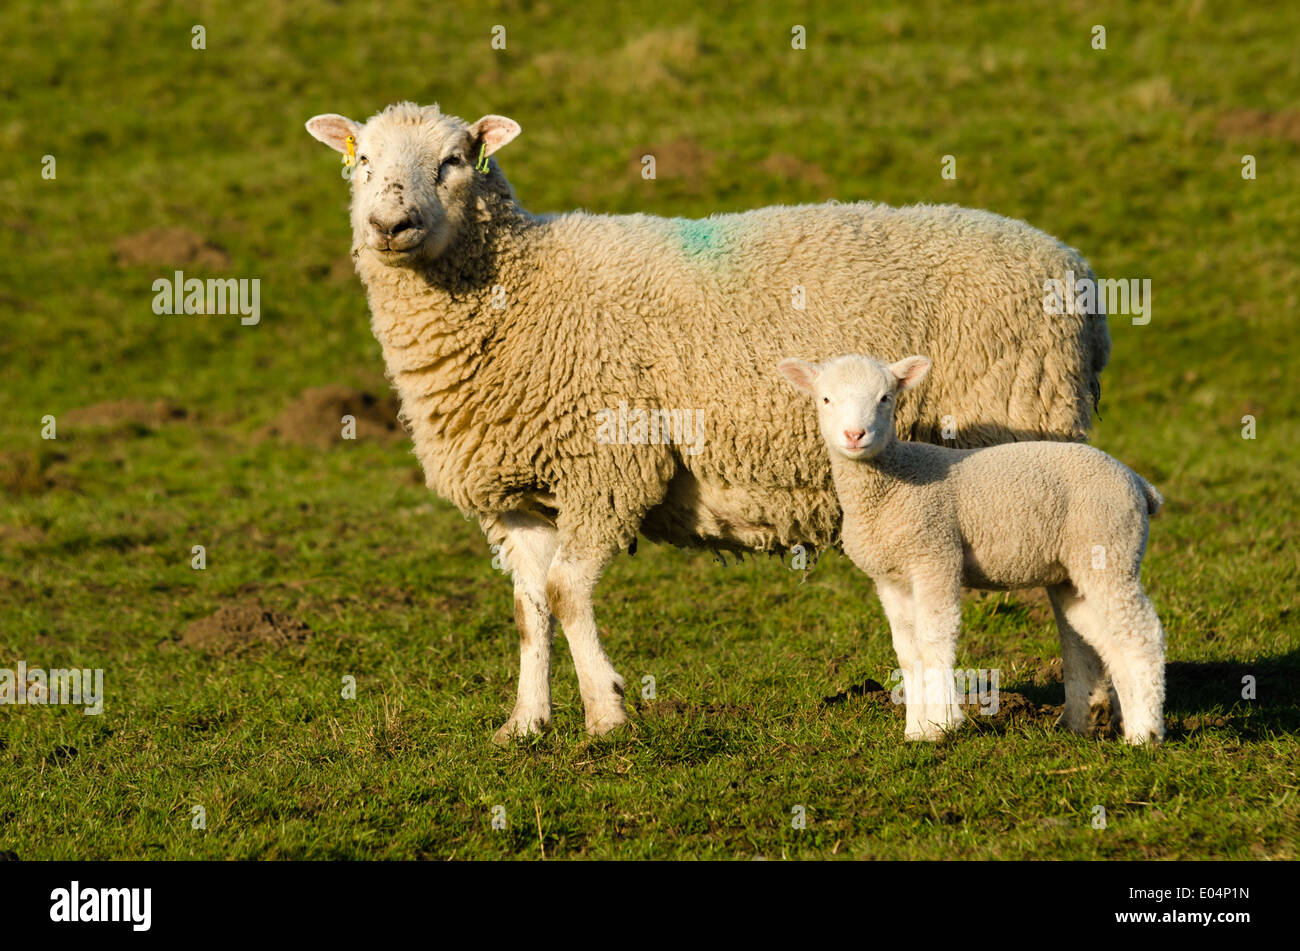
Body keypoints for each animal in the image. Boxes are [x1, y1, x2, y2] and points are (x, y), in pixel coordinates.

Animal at [303, 101, 1111, 743]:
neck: (516, 290)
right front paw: (525, 724)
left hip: (1020, 435)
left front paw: (607, 715)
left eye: (453, 161)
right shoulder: (517, 495)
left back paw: (1086, 710)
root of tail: (1080, 278)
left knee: (1068, 584)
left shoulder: (608, 465)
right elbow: (531, 609)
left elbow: (567, 593)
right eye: (364, 160)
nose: (389, 224)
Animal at [778, 353, 1164, 744]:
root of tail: (1138, 483)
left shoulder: (935, 553)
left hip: (1110, 545)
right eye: (826, 399)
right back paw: (1116, 724)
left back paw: (1145, 734)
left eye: (885, 398)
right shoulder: (890, 577)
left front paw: (941, 724)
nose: (855, 435)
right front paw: (915, 730)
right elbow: (908, 651)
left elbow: (934, 640)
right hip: (1076, 570)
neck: (892, 484)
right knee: (1109, 640)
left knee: (1142, 633)